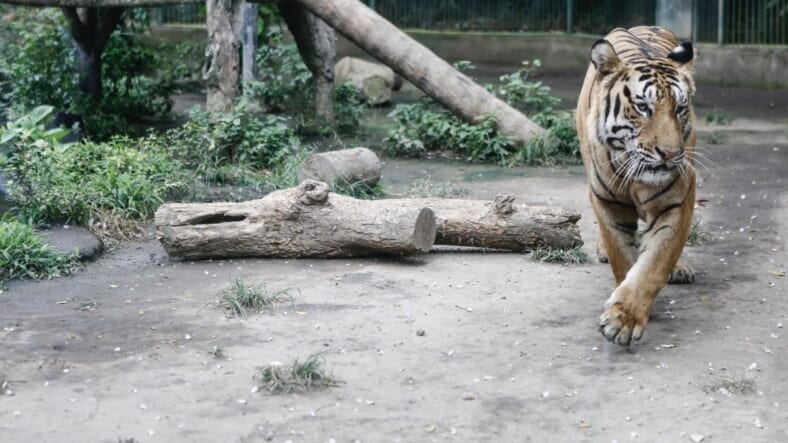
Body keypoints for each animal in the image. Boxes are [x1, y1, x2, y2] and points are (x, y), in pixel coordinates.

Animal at [576, 26, 698, 346]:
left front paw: (624, 320)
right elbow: (623, 258)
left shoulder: (677, 203)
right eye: (643, 107)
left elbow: (654, 264)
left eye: (680, 108)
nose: (670, 153)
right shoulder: (608, 203)